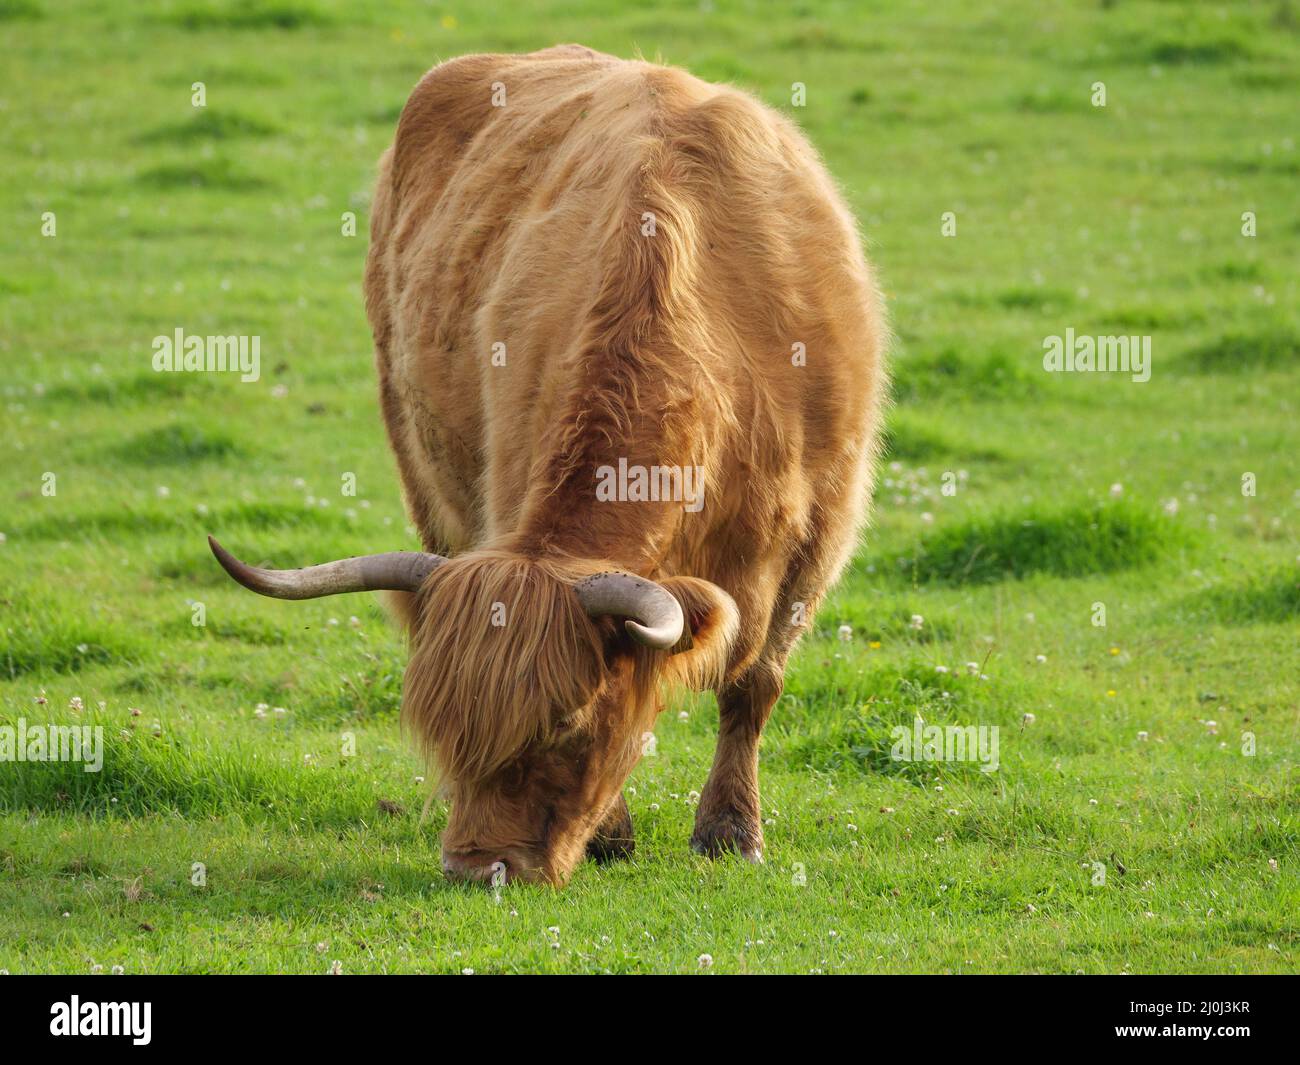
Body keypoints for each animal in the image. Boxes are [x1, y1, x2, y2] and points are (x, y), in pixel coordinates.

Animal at [209, 45, 887, 886]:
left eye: (567, 723)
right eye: (443, 723)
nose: (476, 866)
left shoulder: (816, 537)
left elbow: (753, 684)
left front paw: (732, 829)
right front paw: (611, 834)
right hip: (421, 464)